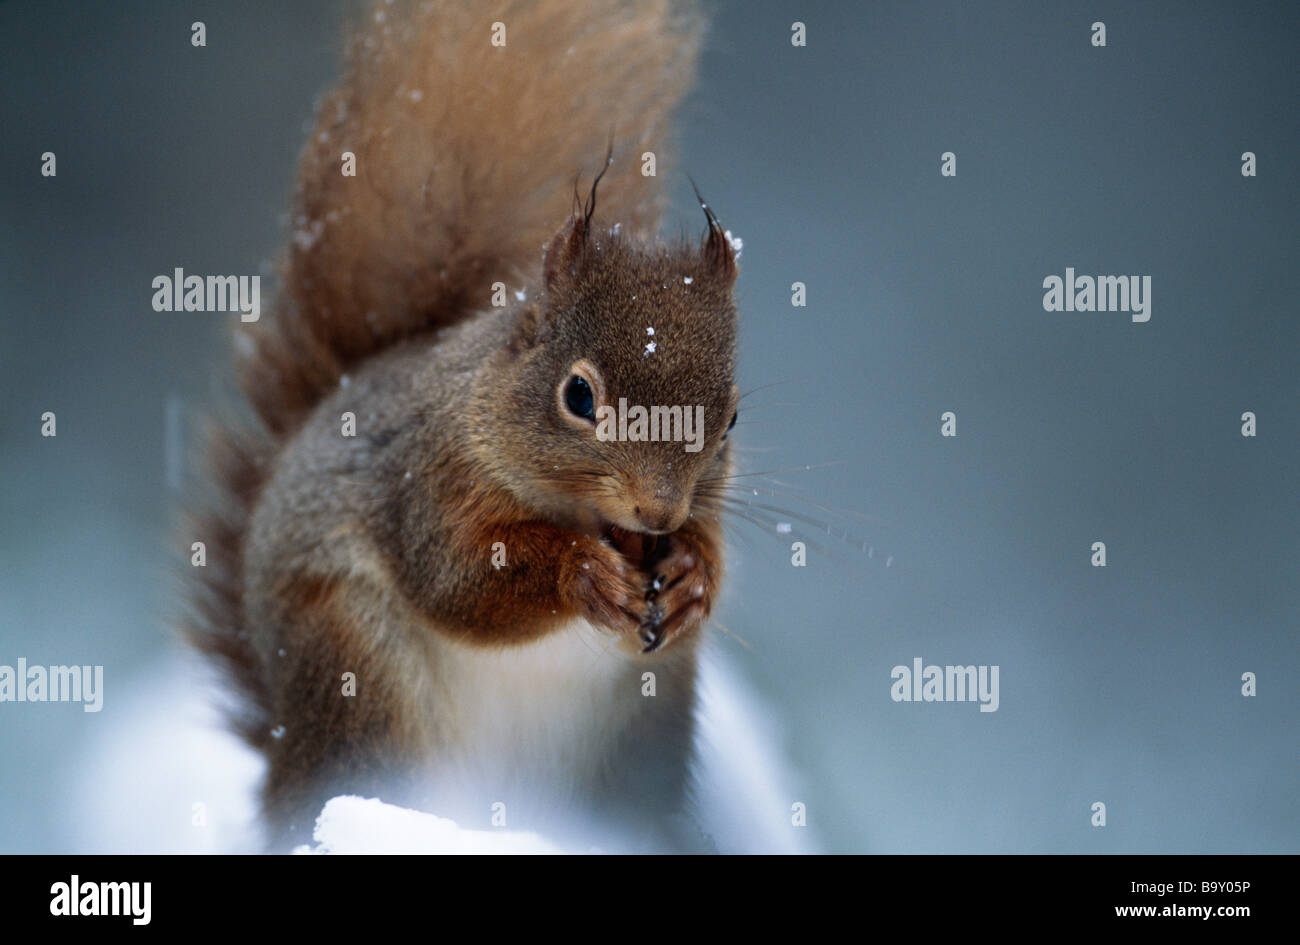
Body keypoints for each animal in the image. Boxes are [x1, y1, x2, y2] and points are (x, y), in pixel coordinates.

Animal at [183, 0, 745, 852]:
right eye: (578, 396)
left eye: (733, 416)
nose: (658, 511)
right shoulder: (428, 478)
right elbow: (457, 579)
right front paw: (582, 573)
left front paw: (690, 578)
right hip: (357, 681)